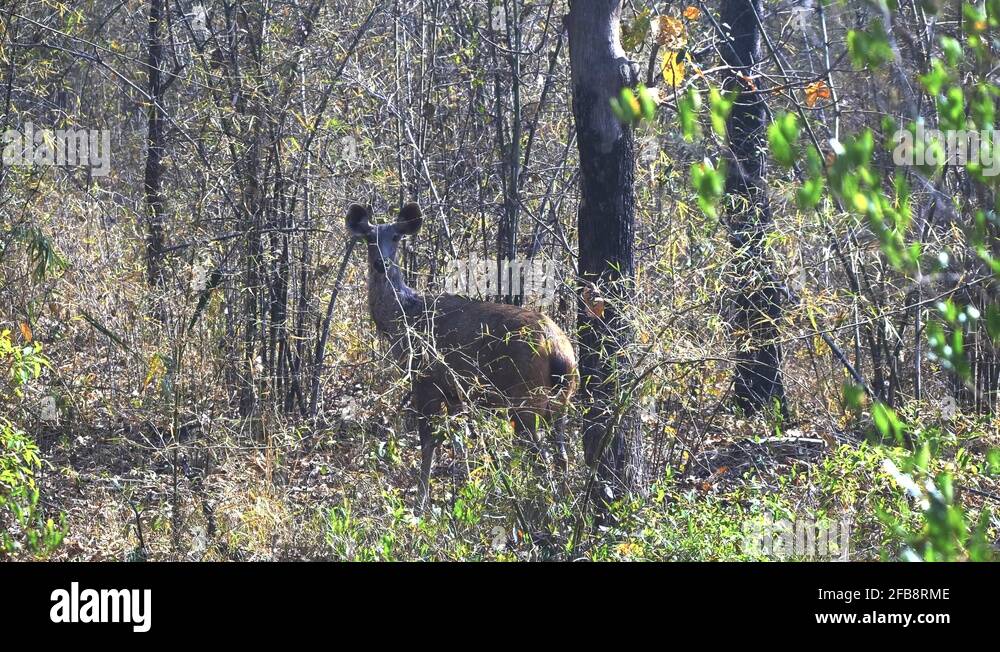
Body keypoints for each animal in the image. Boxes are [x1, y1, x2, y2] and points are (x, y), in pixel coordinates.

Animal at [346, 202, 578, 510]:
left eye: (396, 237)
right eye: (369, 239)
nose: (380, 264)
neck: (404, 320)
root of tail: (560, 353)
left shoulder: (426, 379)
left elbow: (429, 442)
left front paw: (421, 503)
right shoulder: (455, 393)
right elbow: (459, 440)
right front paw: (465, 489)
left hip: (526, 397)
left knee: (540, 454)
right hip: (562, 401)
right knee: (561, 456)